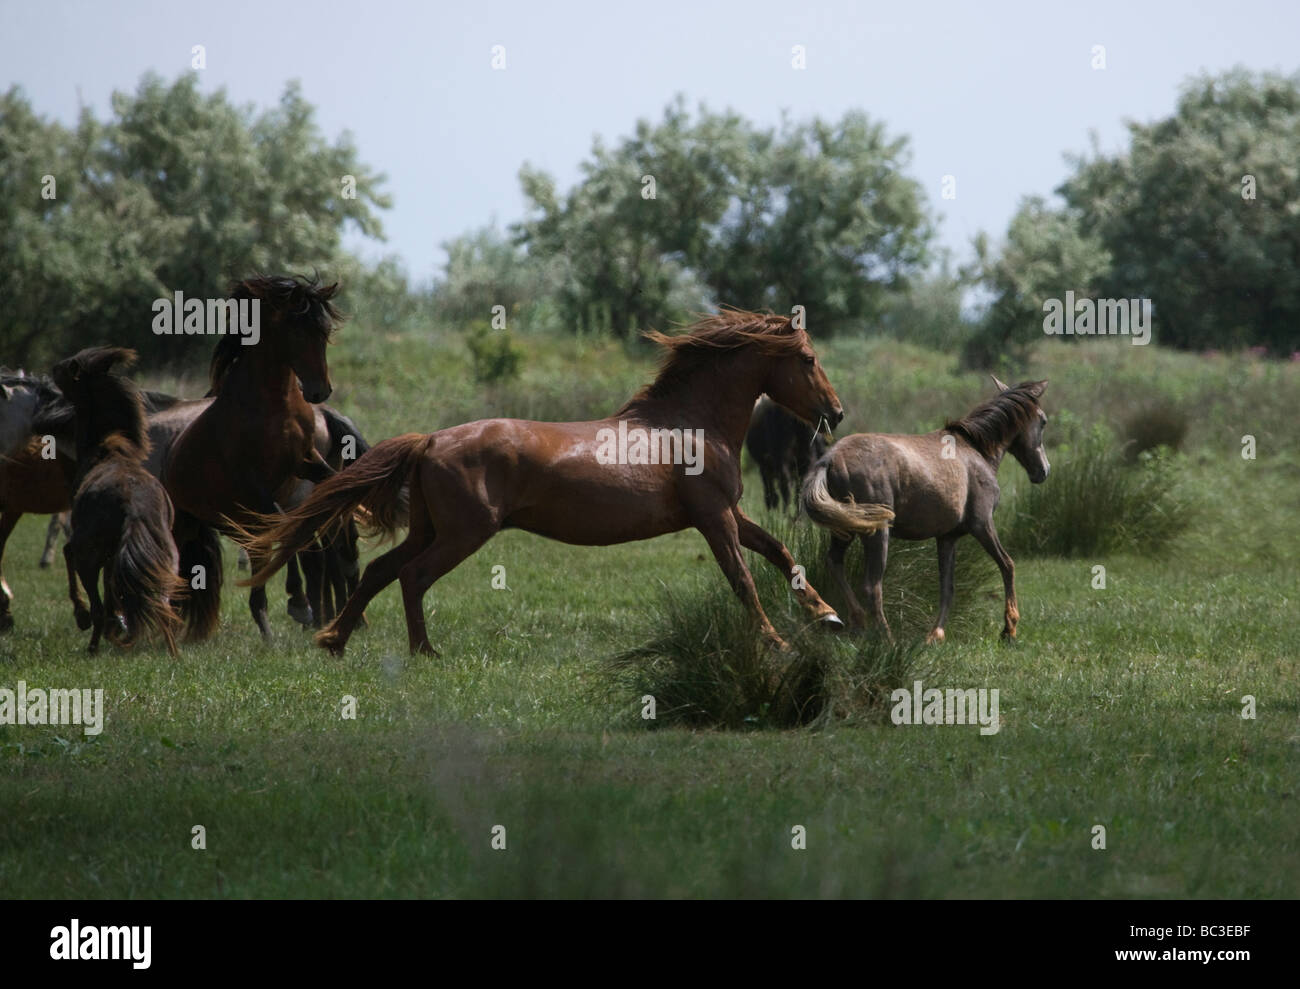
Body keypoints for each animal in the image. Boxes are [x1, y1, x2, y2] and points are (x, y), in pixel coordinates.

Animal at [50, 347, 186, 654]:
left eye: (67, 368)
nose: (52, 369)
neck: (104, 449)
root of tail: (131, 504)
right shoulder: (115, 552)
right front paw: (120, 622)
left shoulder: (82, 544)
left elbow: (68, 554)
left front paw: (84, 616)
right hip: (166, 558)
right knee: (163, 606)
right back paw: (171, 652)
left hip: (89, 555)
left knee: (97, 601)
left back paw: (94, 642)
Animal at [163, 274, 342, 641]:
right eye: (298, 330)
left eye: (324, 330)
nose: (320, 391)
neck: (274, 405)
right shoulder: (252, 483)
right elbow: (285, 523)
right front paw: (299, 602)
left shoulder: (305, 462)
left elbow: (327, 488)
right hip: (186, 523)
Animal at [240, 309, 846, 656]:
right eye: (808, 358)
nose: (836, 413)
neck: (689, 425)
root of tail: (430, 441)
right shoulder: (712, 516)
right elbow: (742, 578)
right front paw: (777, 641)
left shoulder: (729, 512)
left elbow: (780, 551)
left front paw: (827, 614)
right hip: (464, 534)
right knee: (412, 576)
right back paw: (424, 652)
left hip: (431, 529)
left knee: (378, 571)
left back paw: (335, 640)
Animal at [801, 376, 1049, 643]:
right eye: (1043, 421)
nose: (1043, 471)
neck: (975, 451)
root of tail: (830, 459)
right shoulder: (982, 524)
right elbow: (1007, 565)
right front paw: (1009, 628)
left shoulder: (947, 538)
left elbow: (947, 587)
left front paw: (935, 634)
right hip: (877, 534)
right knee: (871, 586)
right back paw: (887, 638)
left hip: (844, 530)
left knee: (834, 563)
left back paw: (858, 623)